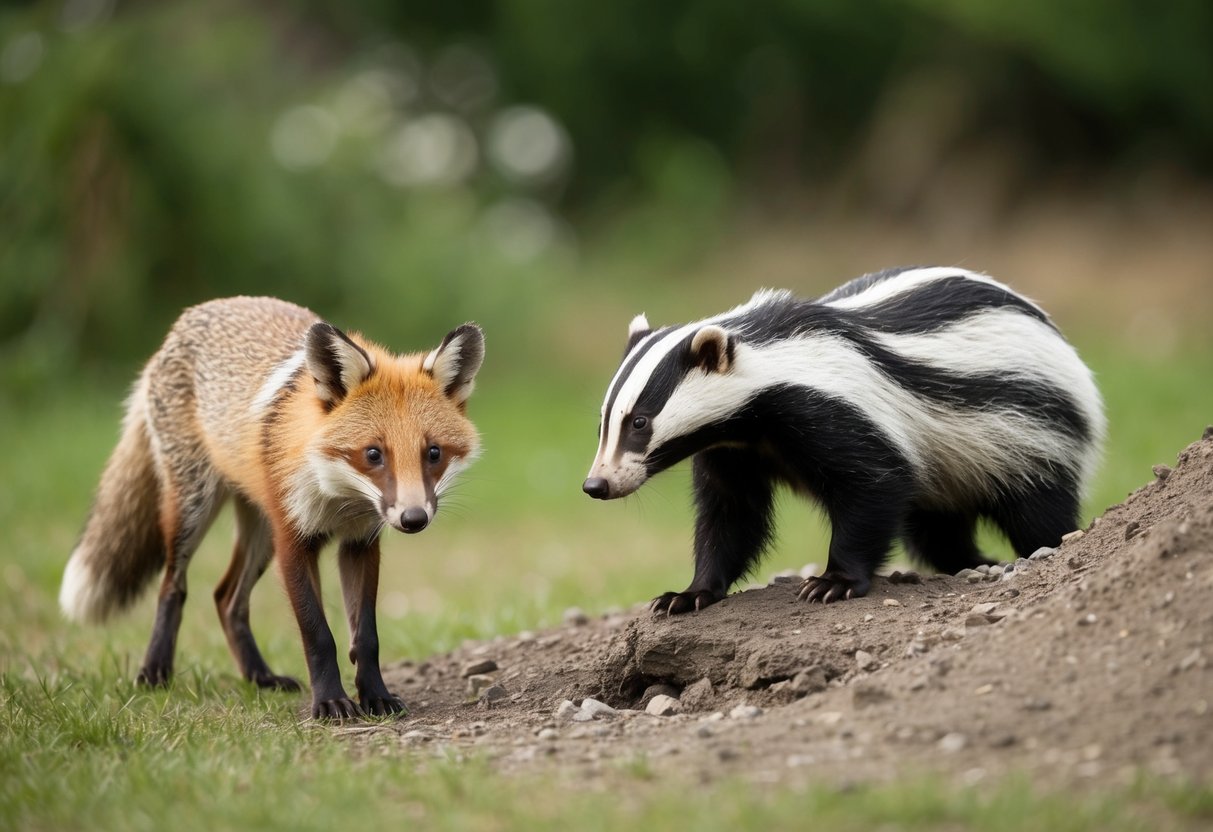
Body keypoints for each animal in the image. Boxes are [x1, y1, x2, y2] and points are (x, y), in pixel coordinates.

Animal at [59, 296, 485, 719]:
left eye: (433, 453)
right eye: (373, 454)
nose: (414, 519)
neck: (338, 498)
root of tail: (193, 313)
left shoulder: (360, 544)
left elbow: (365, 637)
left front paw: (375, 695)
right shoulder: (293, 540)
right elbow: (318, 635)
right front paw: (330, 701)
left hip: (260, 533)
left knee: (226, 599)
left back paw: (259, 677)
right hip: (195, 510)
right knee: (173, 586)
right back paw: (155, 672)